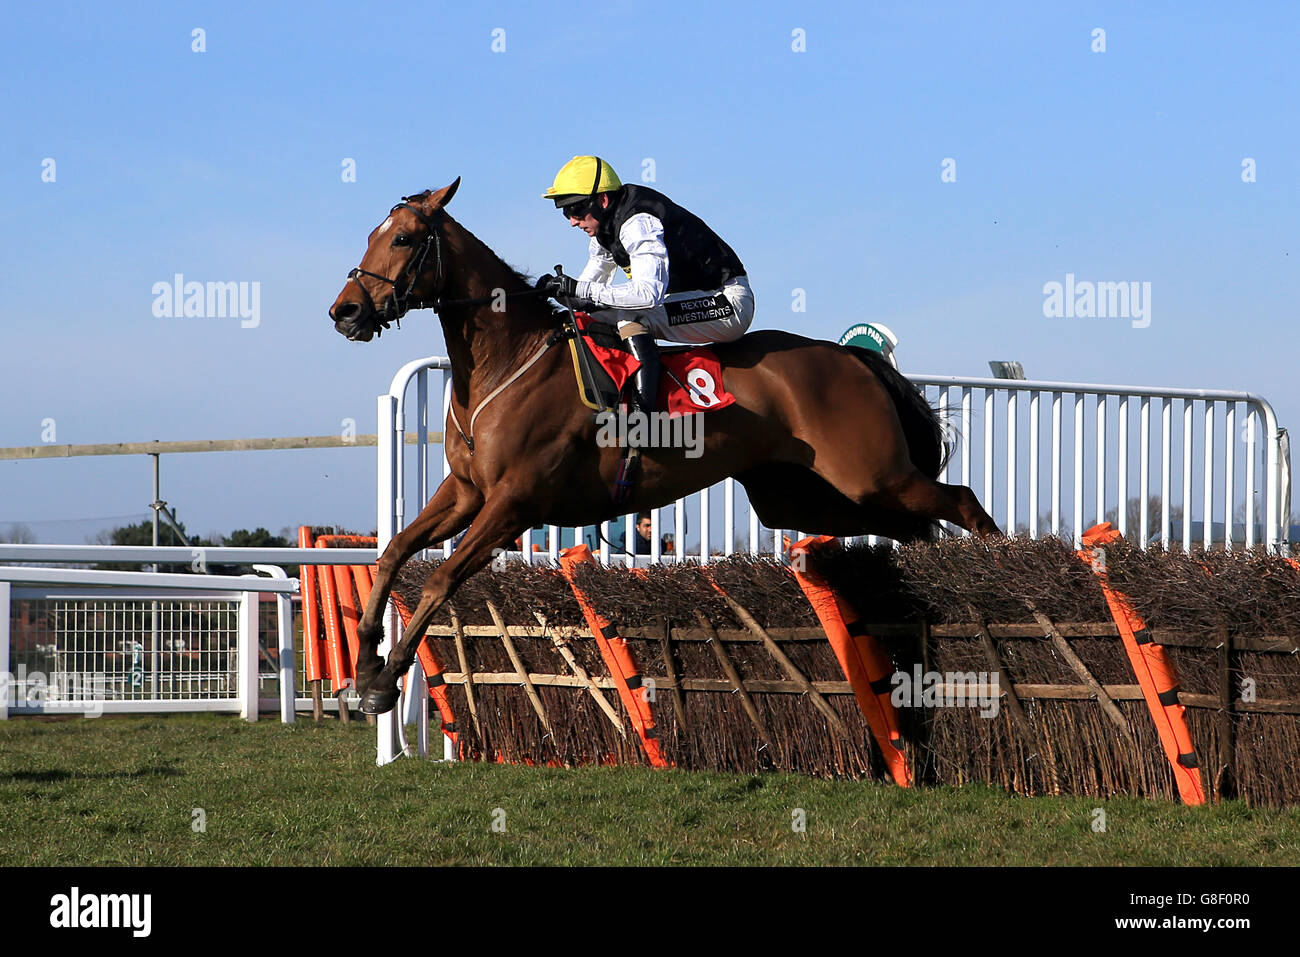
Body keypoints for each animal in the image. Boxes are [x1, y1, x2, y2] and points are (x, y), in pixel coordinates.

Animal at [329, 178, 1000, 715]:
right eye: (372, 235)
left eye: (405, 240)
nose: (346, 311)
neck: (507, 362)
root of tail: (852, 356)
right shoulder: (468, 492)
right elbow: (392, 553)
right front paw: (364, 667)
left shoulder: (515, 503)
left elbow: (441, 579)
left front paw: (385, 680)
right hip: (805, 497)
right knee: (916, 527)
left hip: (871, 473)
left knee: (962, 499)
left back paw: (995, 570)